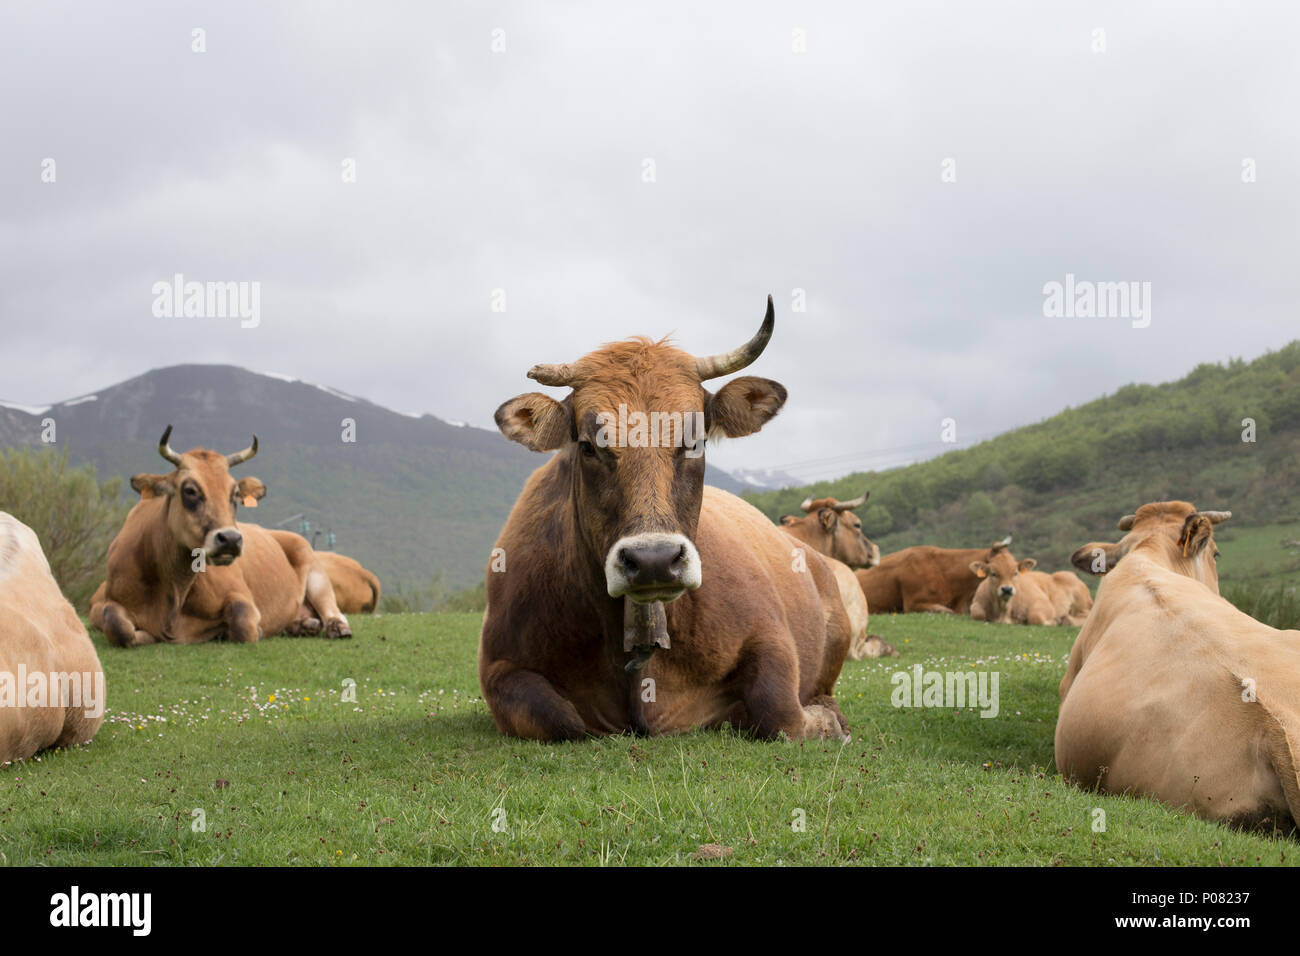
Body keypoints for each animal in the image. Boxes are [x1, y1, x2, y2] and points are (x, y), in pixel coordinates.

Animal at [90, 428, 352, 647]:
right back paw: (302, 625)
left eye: (235, 493)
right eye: (190, 490)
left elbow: (243, 622)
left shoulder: (241, 595)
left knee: (332, 609)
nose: (231, 539)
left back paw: (336, 627)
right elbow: (116, 625)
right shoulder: (106, 601)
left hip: (314, 568)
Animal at [480, 296, 853, 741]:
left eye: (696, 441)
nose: (653, 561)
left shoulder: (770, 635)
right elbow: (561, 718)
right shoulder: (500, 666)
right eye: (588, 446)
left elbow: (778, 710)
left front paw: (824, 721)